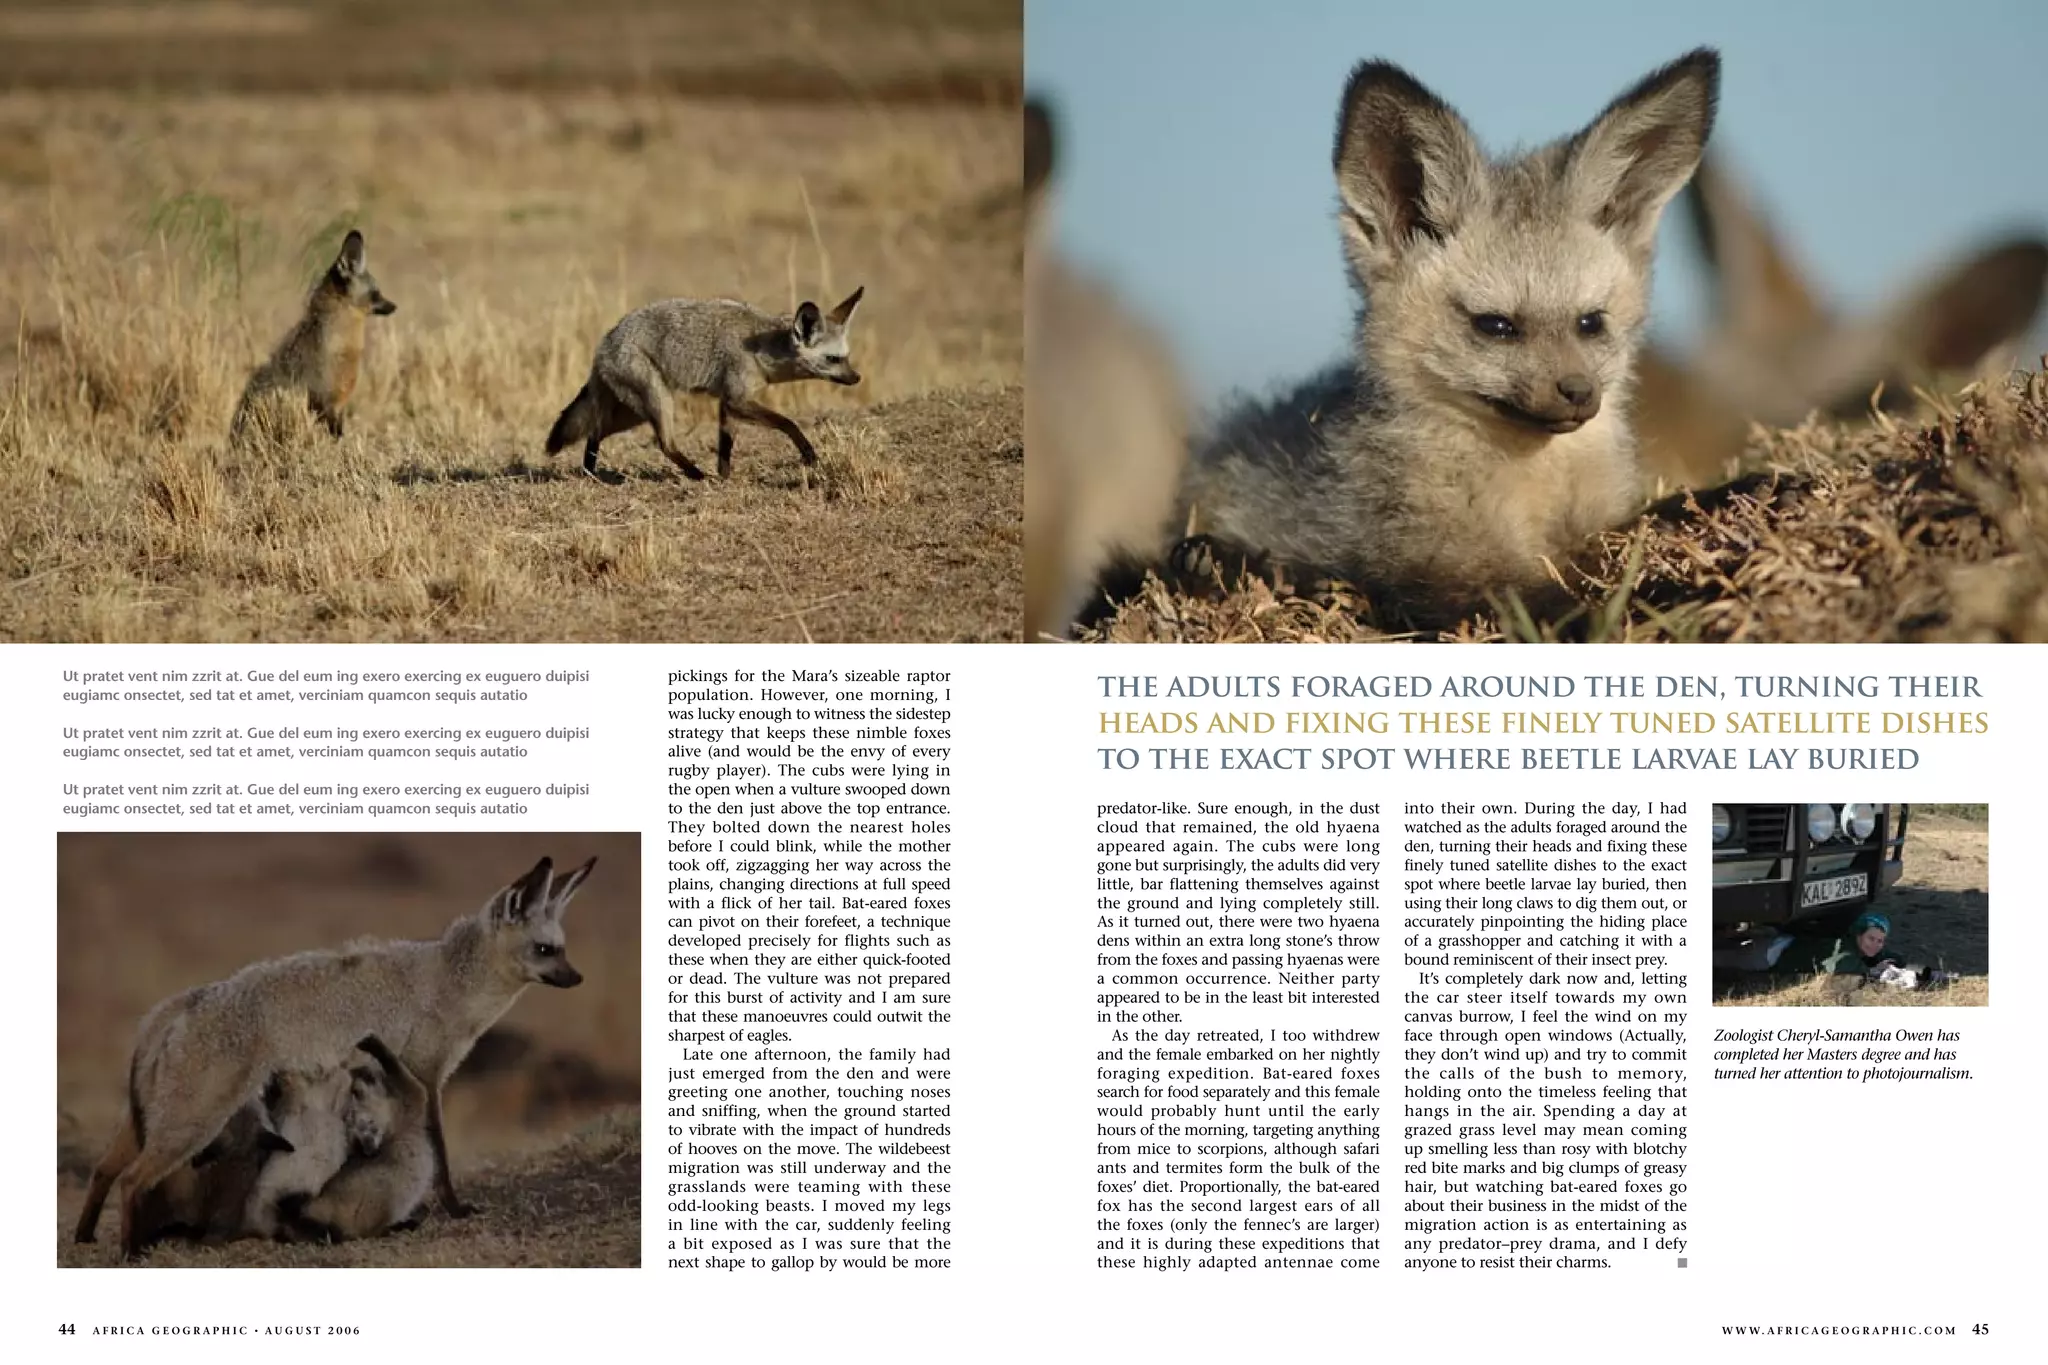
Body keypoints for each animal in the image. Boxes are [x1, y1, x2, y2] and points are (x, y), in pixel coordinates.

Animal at [73, 854, 593, 1259]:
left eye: (562, 950)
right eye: (545, 950)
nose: (578, 979)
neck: (450, 980)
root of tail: (184, 1000)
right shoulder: (425, 1079)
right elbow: (440, 1155)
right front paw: (452, 1208)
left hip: (153, 1123)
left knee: (102, 1171)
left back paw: (84, 1238)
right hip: (190, 1124)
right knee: (131, 1181)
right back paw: (130, 1252)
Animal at [545, 288, 865, 482]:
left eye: (847, 358)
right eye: (833, 359)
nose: (856, 378)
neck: (761, 348)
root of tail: (605, 342)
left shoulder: (728, 403)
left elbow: (725, 446)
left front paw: (724, 477)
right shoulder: (736, 399)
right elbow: (788, 422)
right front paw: (808, 452)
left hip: (632, 414)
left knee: (595, 430)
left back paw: (590, 471)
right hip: (657, 403)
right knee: (665, 444)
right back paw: (694, 474)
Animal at [1178, 49, 1720, 621]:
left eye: (1591, 322)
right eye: (1497, 326)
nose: (1580, 393)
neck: (1536, 485)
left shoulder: (1599, 523)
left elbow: (1666, 514)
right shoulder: (1442, 567)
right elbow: (1562, 607)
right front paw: (1667, 599)